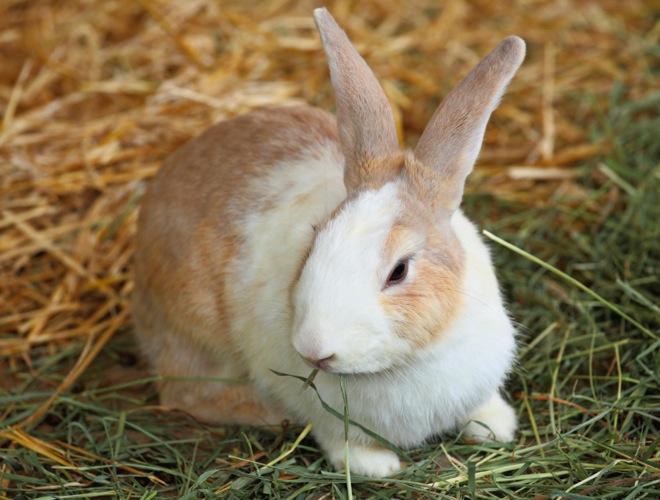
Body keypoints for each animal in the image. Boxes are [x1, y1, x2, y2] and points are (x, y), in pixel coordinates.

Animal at [132, 7, 526, 478]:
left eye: (399, 271)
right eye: (315, 239)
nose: (314, 350)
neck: (408, 360)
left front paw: (497, 426)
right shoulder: (326, 418)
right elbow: (338, 439)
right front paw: (377, 466)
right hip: (196, 329)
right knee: (184, 394)